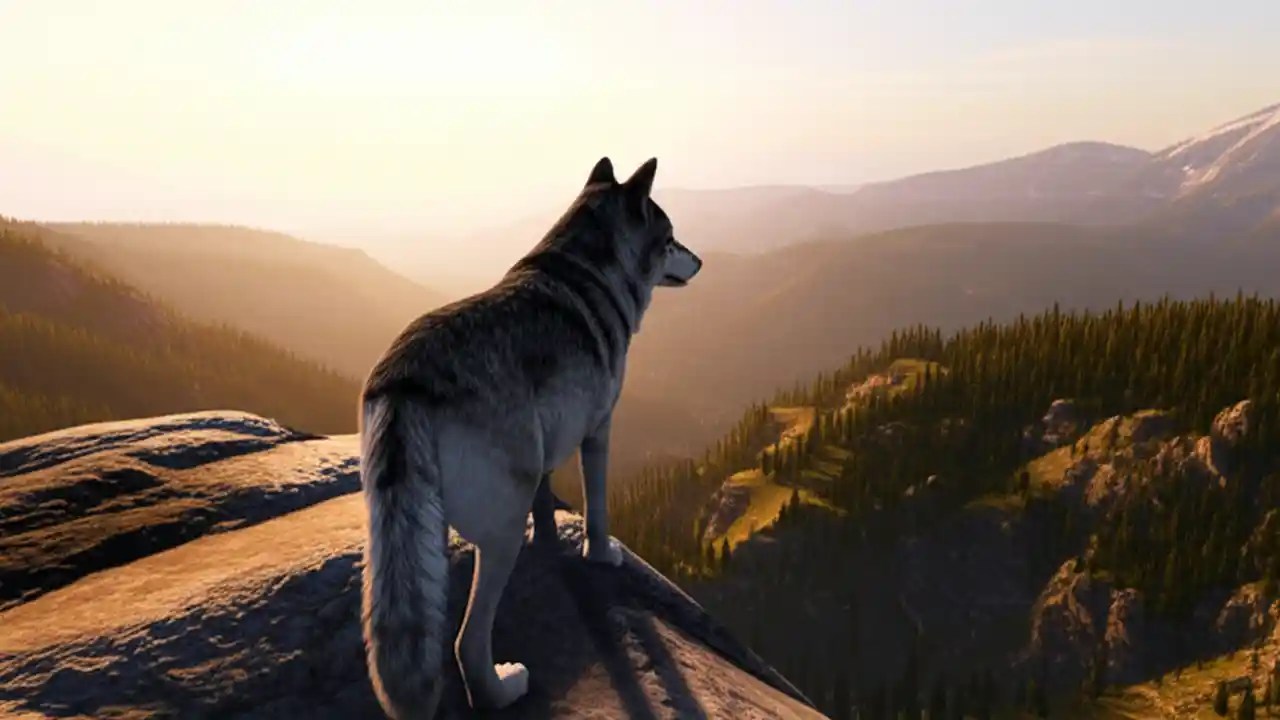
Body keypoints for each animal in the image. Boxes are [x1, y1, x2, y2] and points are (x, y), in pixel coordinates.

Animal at [358, 157, 702, 719]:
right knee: (466, 643)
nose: (700, 259)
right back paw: (503, 688)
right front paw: (601, 554)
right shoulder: (599, 429)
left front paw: (549, 539)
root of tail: (405, 383)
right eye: (671, 239)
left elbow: (546, 502)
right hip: (500, 534)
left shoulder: (548, 445)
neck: (590, 269)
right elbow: (598, 507)